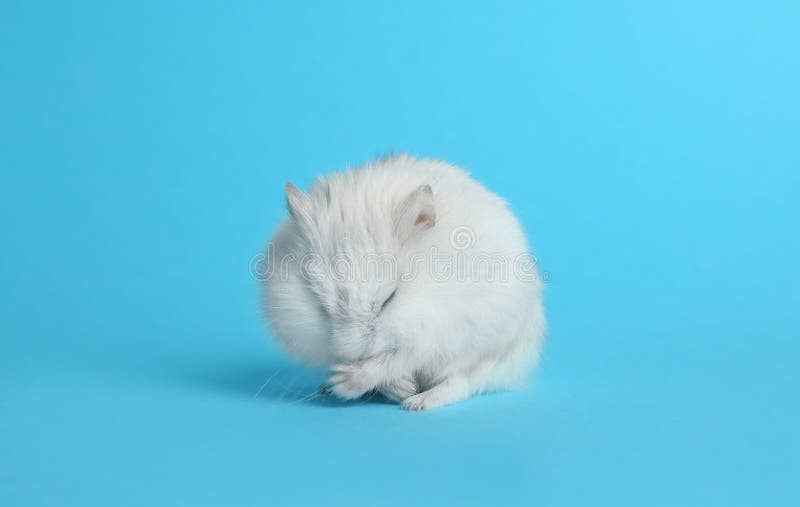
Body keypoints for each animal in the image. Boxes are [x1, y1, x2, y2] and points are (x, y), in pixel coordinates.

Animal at [261, 155, 545, 410]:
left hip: (490, 354)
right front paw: (395, 386)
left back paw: (416, 402)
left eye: (390, 298)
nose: (352, 353)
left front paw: (346, 381)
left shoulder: (434, 331)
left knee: (460, 383)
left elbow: (396, 359)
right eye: (320, 304)